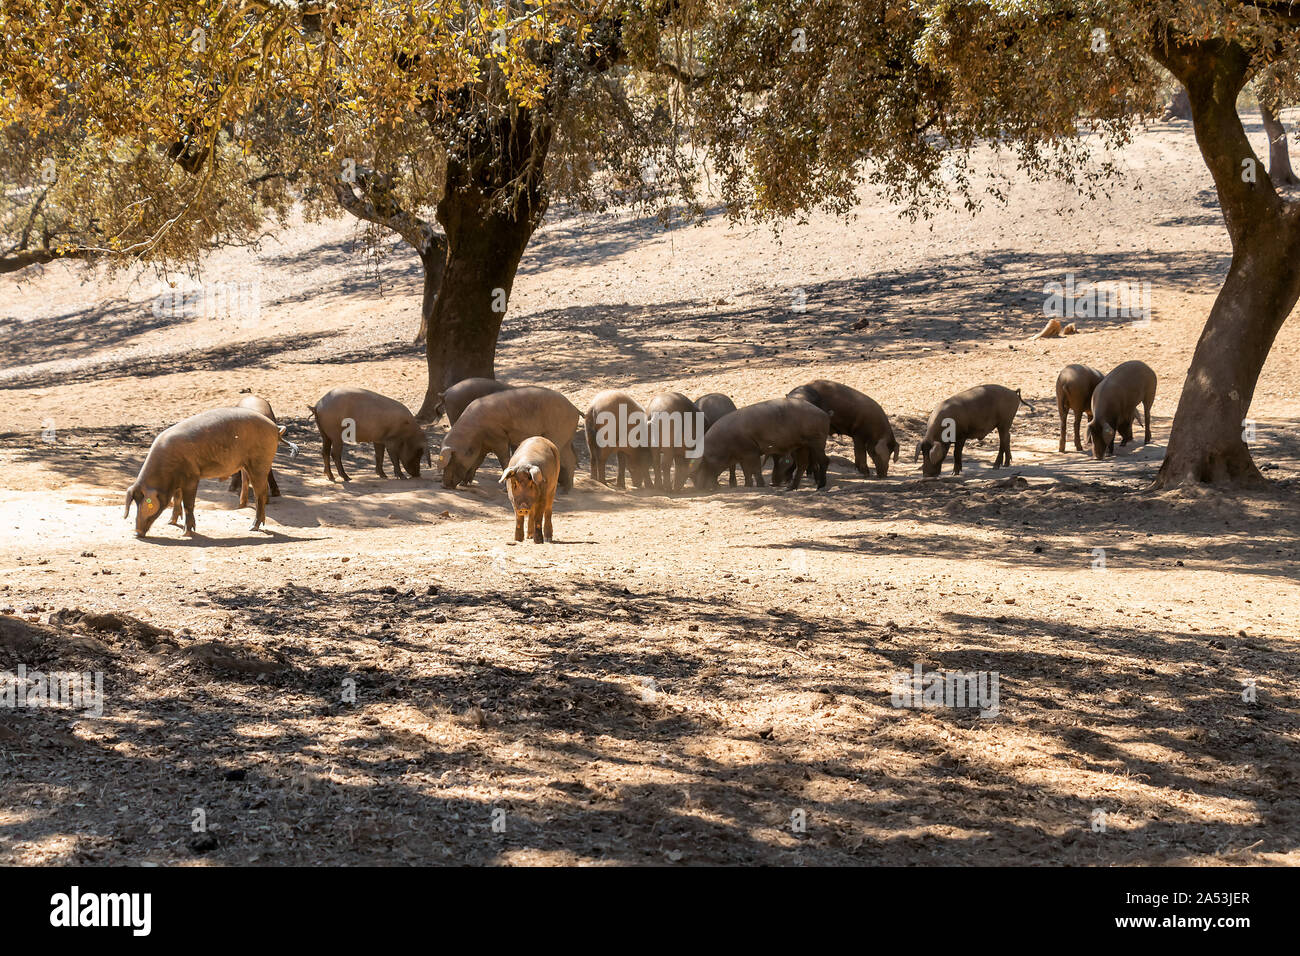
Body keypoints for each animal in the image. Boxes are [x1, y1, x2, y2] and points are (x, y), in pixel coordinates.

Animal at [125, 408, 285, 538]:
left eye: (148, 504)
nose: (136, 533)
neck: (166, 471)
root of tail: (275, 428)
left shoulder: (191, 477)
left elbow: (188, 504)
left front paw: (186, 533)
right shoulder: (178, 481)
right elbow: (176, 499)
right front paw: (170, 523)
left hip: (260, 462)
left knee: (260, 494)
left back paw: (252, 527)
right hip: (248, 465)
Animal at [440, 386, 580, 491]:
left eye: (452, 460)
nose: (445, 486)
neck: (476, 432)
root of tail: (575, 409)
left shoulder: (499, 438)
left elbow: (504, 459)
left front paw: (503, 488)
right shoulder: (483, 446)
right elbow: (477, 461)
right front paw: (464, 484)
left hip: (558, 434)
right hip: (566, 438)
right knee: (570, 459)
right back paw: (566, 490)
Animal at [691, 398, 830, 491]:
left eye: (702, 465)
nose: (699, 488)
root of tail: (824, 414)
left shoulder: (751, 451)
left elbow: (756, 469)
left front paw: (760, 486)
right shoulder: (742, 455)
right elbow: (747, 471)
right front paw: (747, 486)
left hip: (817, 441)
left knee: (824, 460)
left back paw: (820, 487)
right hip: (801, 446)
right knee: (802, 464)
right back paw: (790, 488)